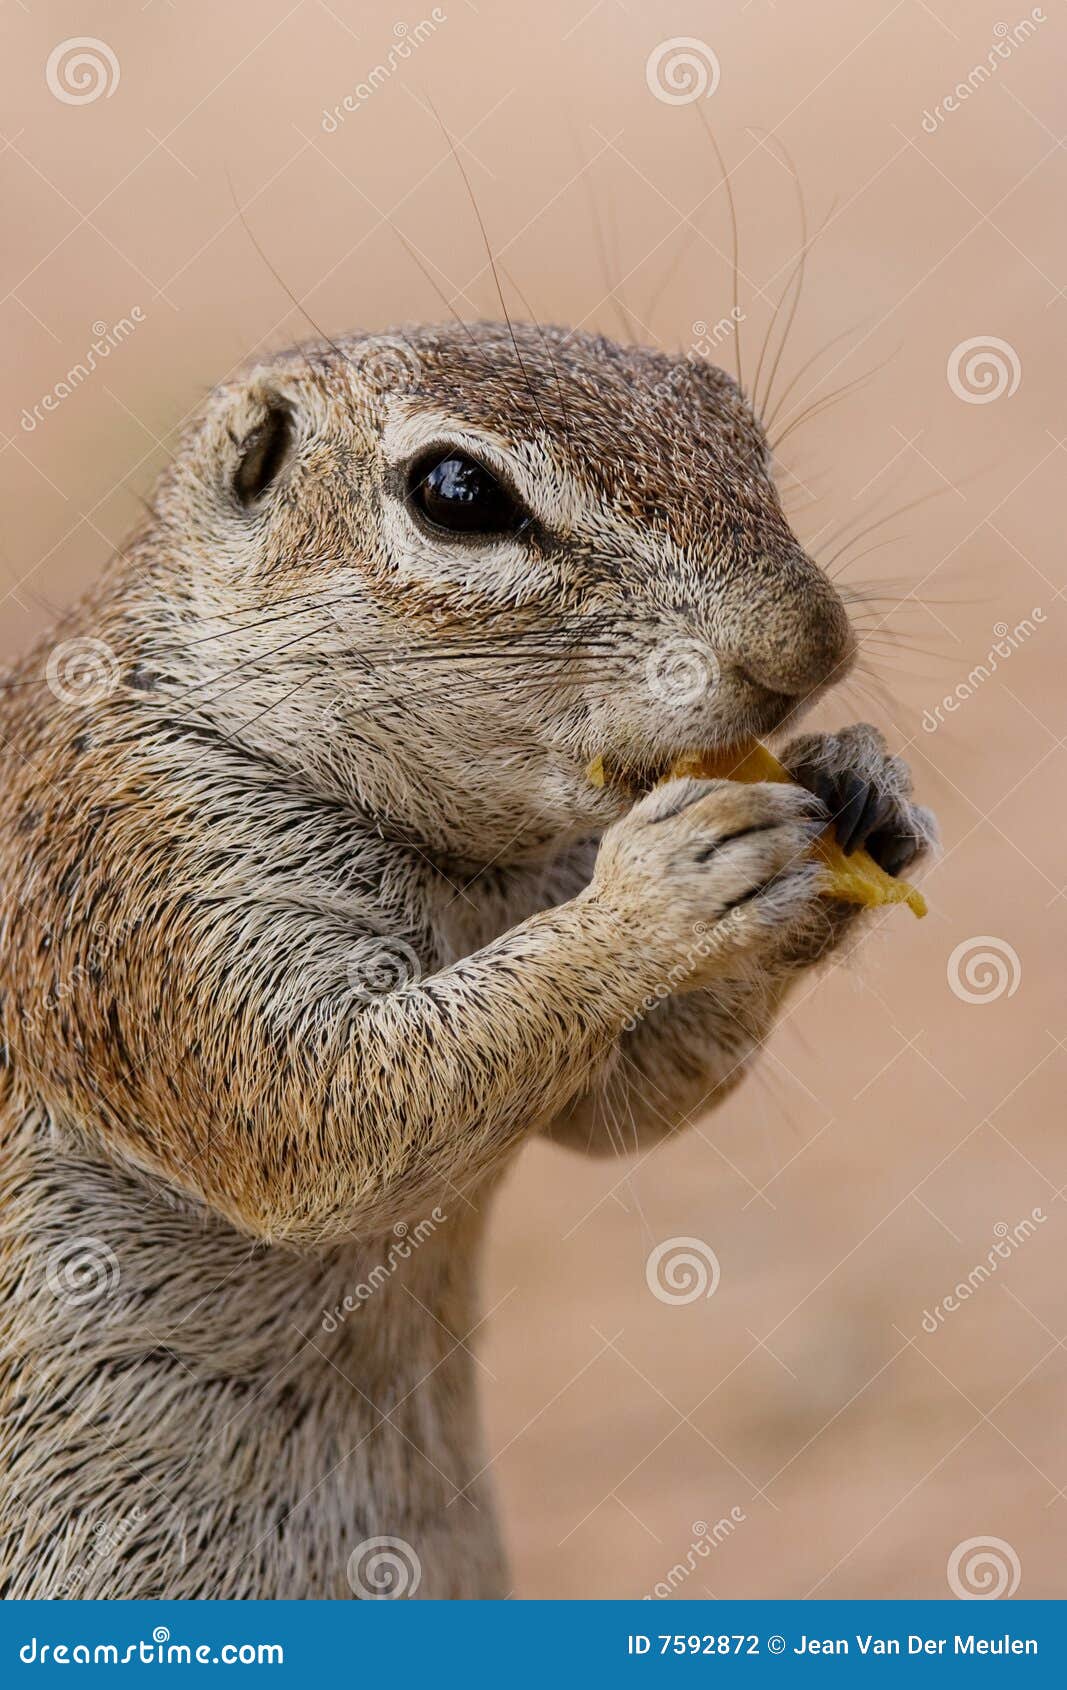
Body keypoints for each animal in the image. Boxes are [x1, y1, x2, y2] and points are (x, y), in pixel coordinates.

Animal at [0, 322, 936, 1598]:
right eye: (457, 492)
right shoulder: (139, 881)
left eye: (729, 414)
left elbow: (619, 1106)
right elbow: (313, 1116)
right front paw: (667, 884)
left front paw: (859, 788)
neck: (465, 871)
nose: (813, 645)